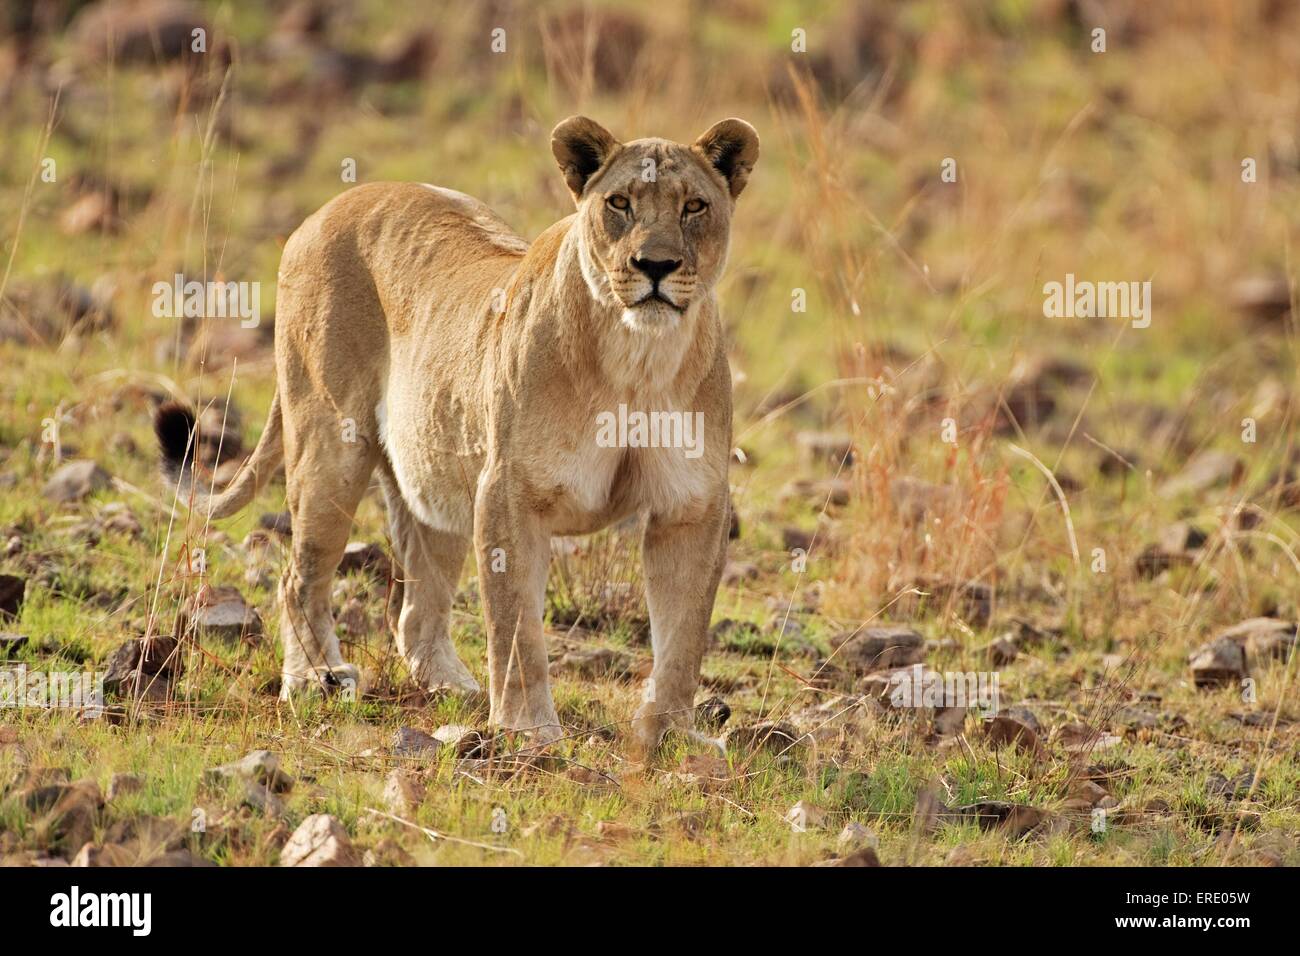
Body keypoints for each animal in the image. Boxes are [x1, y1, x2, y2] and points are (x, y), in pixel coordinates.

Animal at [156, 116, 759, 753]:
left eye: (694, 206)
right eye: (619, 203)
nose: (656, 266)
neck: (637, 357)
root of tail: (328, 208)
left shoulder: (692, 504)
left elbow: (683, 635)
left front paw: (673, 735)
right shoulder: (509, 492)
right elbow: (517, 629)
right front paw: (528, 730)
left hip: (434, 480)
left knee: (415, 610)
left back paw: (453, 688)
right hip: (328, 447)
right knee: (299, 578)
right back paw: (315, 679)